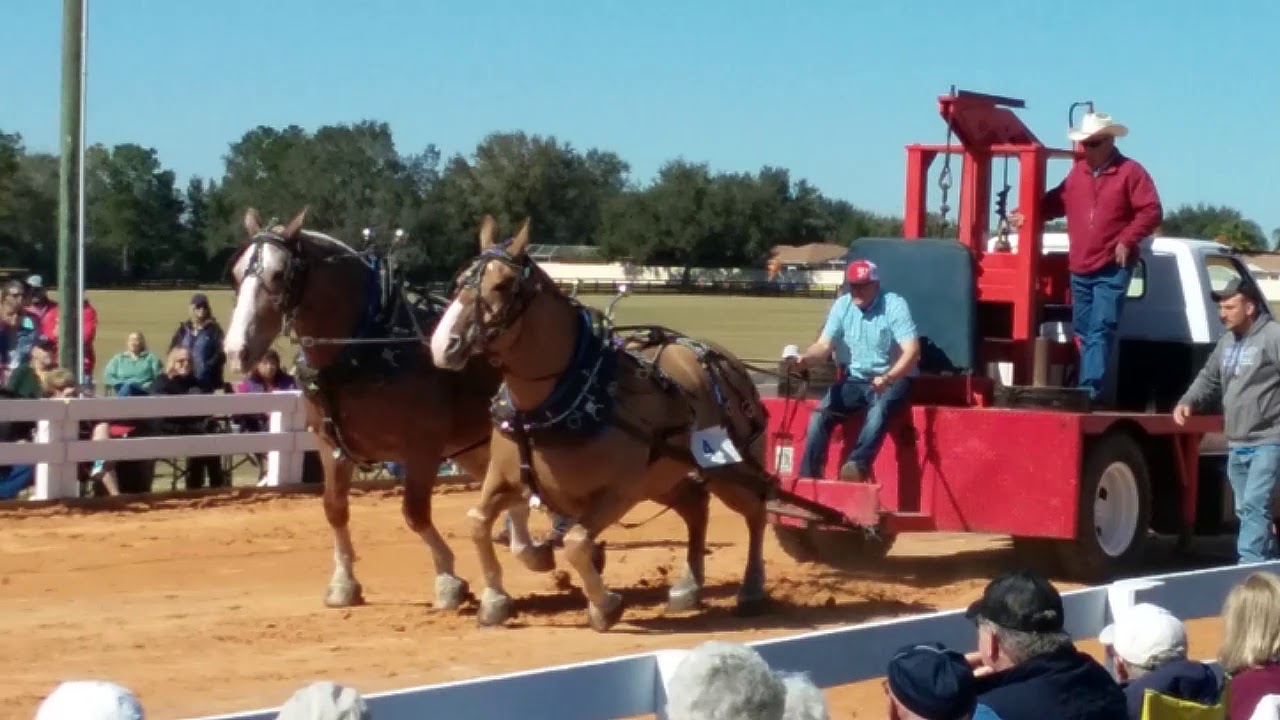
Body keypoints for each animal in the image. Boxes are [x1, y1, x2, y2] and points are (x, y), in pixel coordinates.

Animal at [222, 207, 557, 612]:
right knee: (511, 492)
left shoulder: (423, 446)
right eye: (237, 272)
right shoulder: (330, 445)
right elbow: (334, 508)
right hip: (477, 445)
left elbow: (415, 512)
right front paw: (343, 583)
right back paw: (528, 550)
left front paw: (447, 579)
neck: (367, 347)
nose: (236, 351)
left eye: (277, 274)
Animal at [428, 215, 776, 631]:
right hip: (665, 479)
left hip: (727, 471)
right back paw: (688, 587)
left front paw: (605, 604)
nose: (443, 345)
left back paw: (751, 589)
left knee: (756, 510)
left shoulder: (618, 493)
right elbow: (479, 523)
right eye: (460, 279)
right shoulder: (504, 478)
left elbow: (576, 544)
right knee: (696, 507)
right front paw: (497, 599)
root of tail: (727, 361)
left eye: (502, 284)